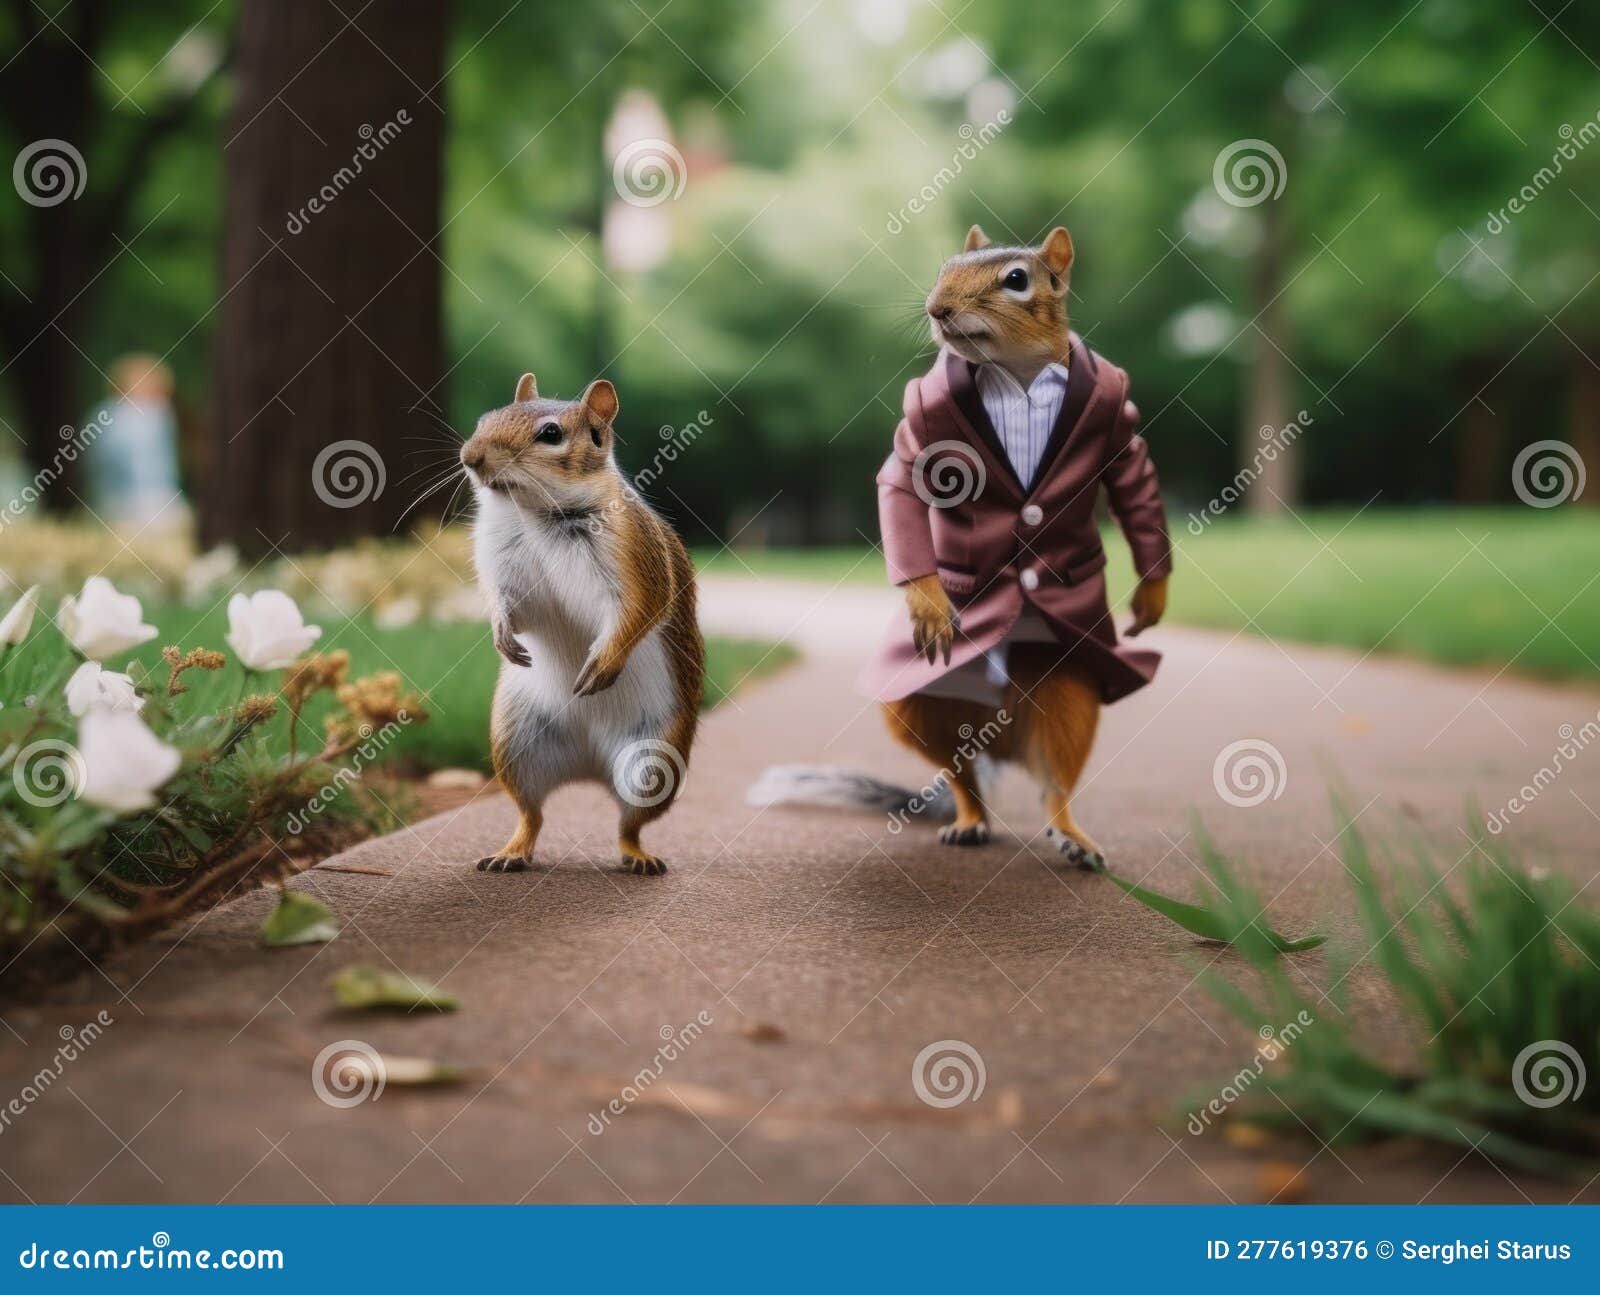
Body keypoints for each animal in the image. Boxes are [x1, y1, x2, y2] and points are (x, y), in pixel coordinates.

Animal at [460, 372, 704, 876]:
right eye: (485, 419)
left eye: (551, 434)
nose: (470, 457)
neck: (534, 512)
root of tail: (590, 762)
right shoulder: (500, 561)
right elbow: (502, 600)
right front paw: (501, 633)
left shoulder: (633, 556)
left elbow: (638, 611)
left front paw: (603, 663)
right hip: (516, 742)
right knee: (531, 813)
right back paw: (512, 851)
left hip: (656, 759)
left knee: (629, 824)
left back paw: (638, 856)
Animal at [750, 224, 1172, 869]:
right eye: (944, 268)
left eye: (1017, 279)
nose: (936, 308)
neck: (1018, 373)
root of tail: (998, 731)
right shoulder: (920, 427)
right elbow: (901, 483)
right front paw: (928, 603)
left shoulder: (1116, 419)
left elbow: (1134, 480)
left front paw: (1152, 594)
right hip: (919, 707)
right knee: (961, 773)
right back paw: (970, 819)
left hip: (1069, 695)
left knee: (1055, 781)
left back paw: (1071, 835)